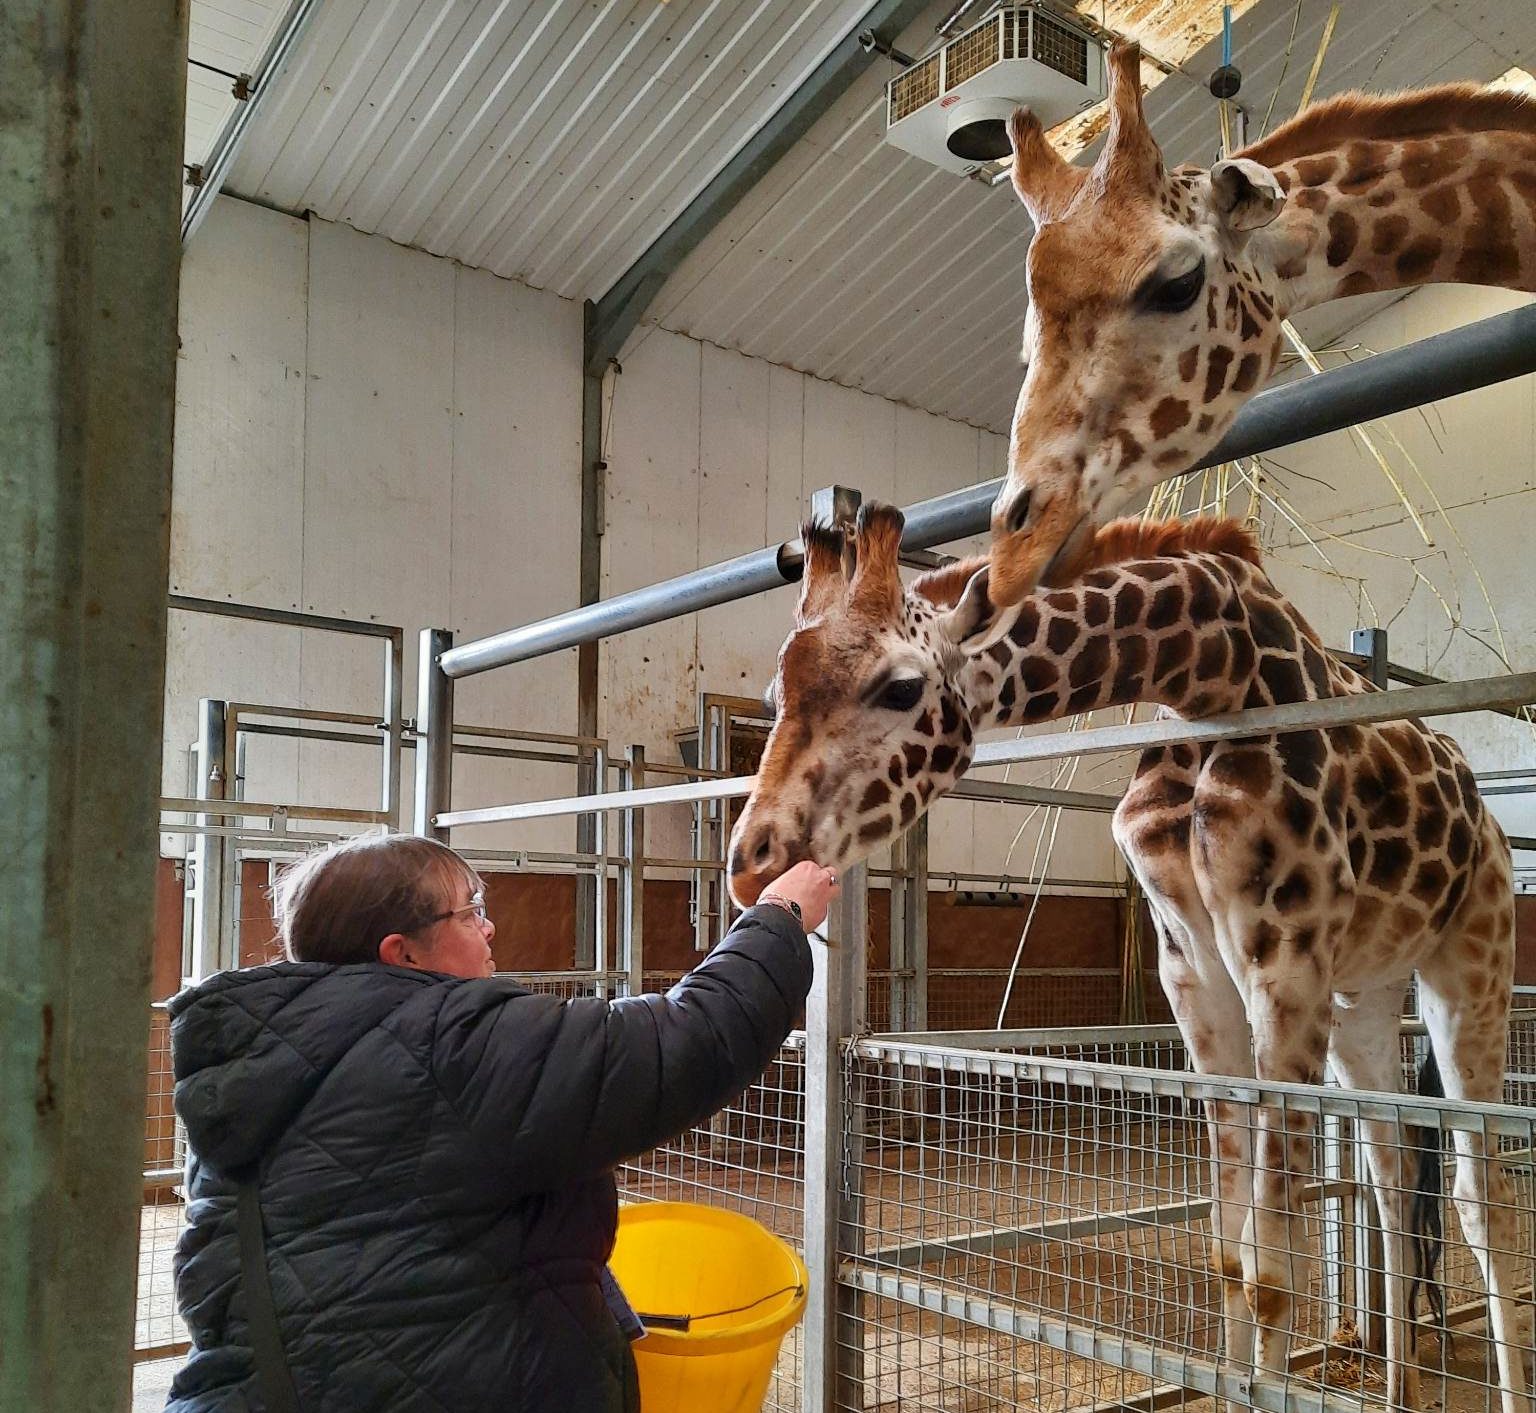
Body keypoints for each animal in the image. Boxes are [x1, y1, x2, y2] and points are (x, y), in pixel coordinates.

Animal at [729, 503, 1525, 1413]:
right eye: (775, 694)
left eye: (899, 687)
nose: (751, 858)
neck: (1208, 677)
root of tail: (1485, 818)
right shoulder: (1194, 971)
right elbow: (1230, 1256)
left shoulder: (1286, 963)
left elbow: (1273, 1273)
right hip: (1370, 993)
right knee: (1393, 1170)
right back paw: (1398, 1388)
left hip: (1470, 962)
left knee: (1482, 1194)